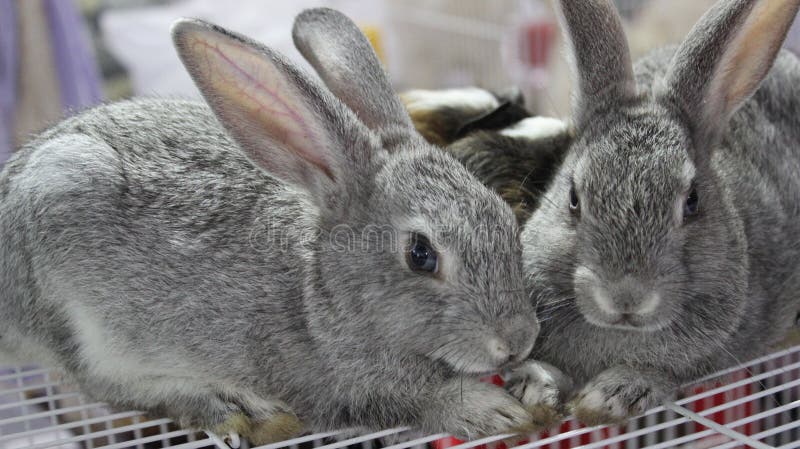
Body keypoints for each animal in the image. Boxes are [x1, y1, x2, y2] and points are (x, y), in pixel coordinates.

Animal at [0, 8, 543, 443]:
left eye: (503, 214)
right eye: (421, 254)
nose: (518, 340)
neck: (321, 294)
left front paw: (533, 378)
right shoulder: (343, 387)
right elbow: (414, 399)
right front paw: (489, 410)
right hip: (72, 288)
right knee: (108, 385)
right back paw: (229, 405)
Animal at [507, 0, 800, 427]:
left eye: (692, 201)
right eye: (574, 198)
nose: (625, 298)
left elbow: (665, 373)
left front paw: (614, 394)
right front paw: (532, 385)